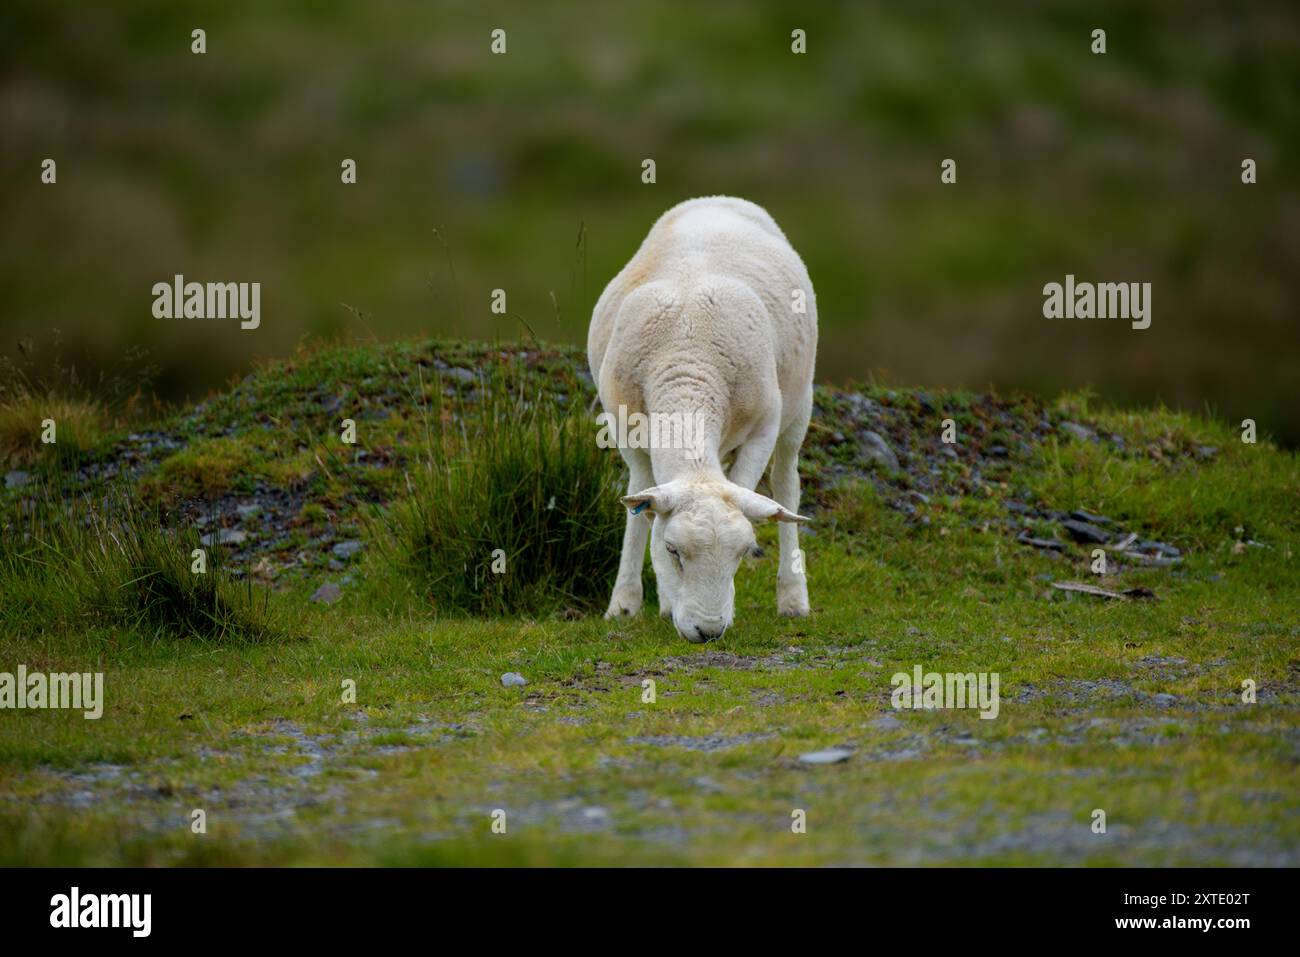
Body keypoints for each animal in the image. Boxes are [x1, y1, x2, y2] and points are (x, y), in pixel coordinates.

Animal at [588, 196, 817, 642]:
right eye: (674, 550)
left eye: (744, 552)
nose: (708, 631)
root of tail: (719, 199)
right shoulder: (626, 431)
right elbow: (641, 505)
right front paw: (625, 604)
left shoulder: (763, 428)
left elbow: (750, 489)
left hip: (800, 403)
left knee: (786, 485)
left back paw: (793, 597)